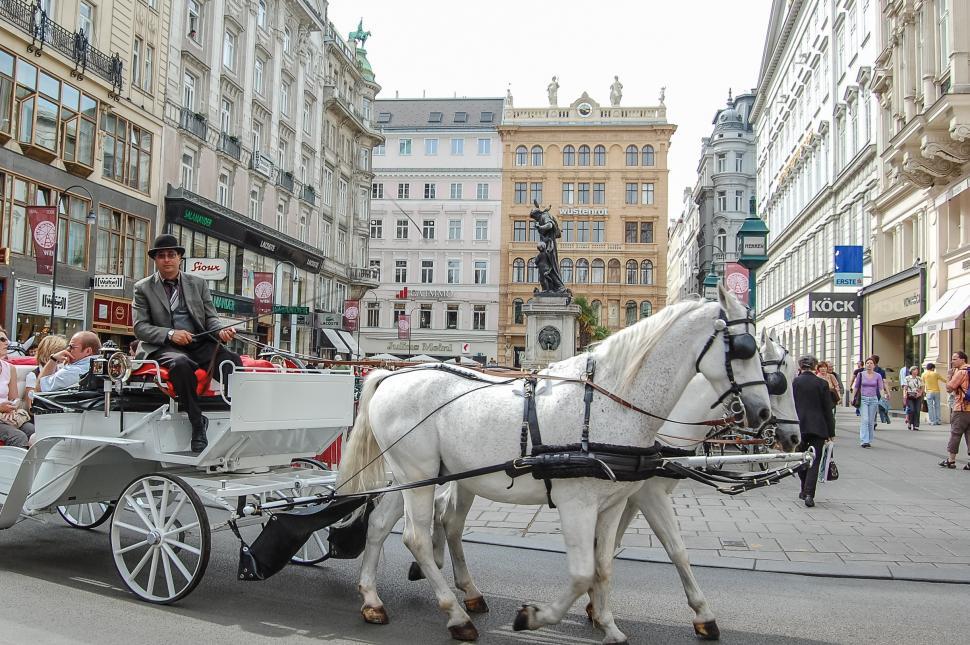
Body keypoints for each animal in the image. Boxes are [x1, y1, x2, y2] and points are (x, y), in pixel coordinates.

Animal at [338, 287, 771, 643]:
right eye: (745, 349)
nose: (762, 413)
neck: (609, 402)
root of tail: (390, 377)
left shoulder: (612, 504)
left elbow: (603, 565)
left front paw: (608, 625)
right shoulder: (577, 503)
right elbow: (582, 572)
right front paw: (534, 616)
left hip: (412, 477)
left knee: (381, 526)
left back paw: (372, 600)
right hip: (420, 477)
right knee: (416, 537)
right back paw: (457, 616)